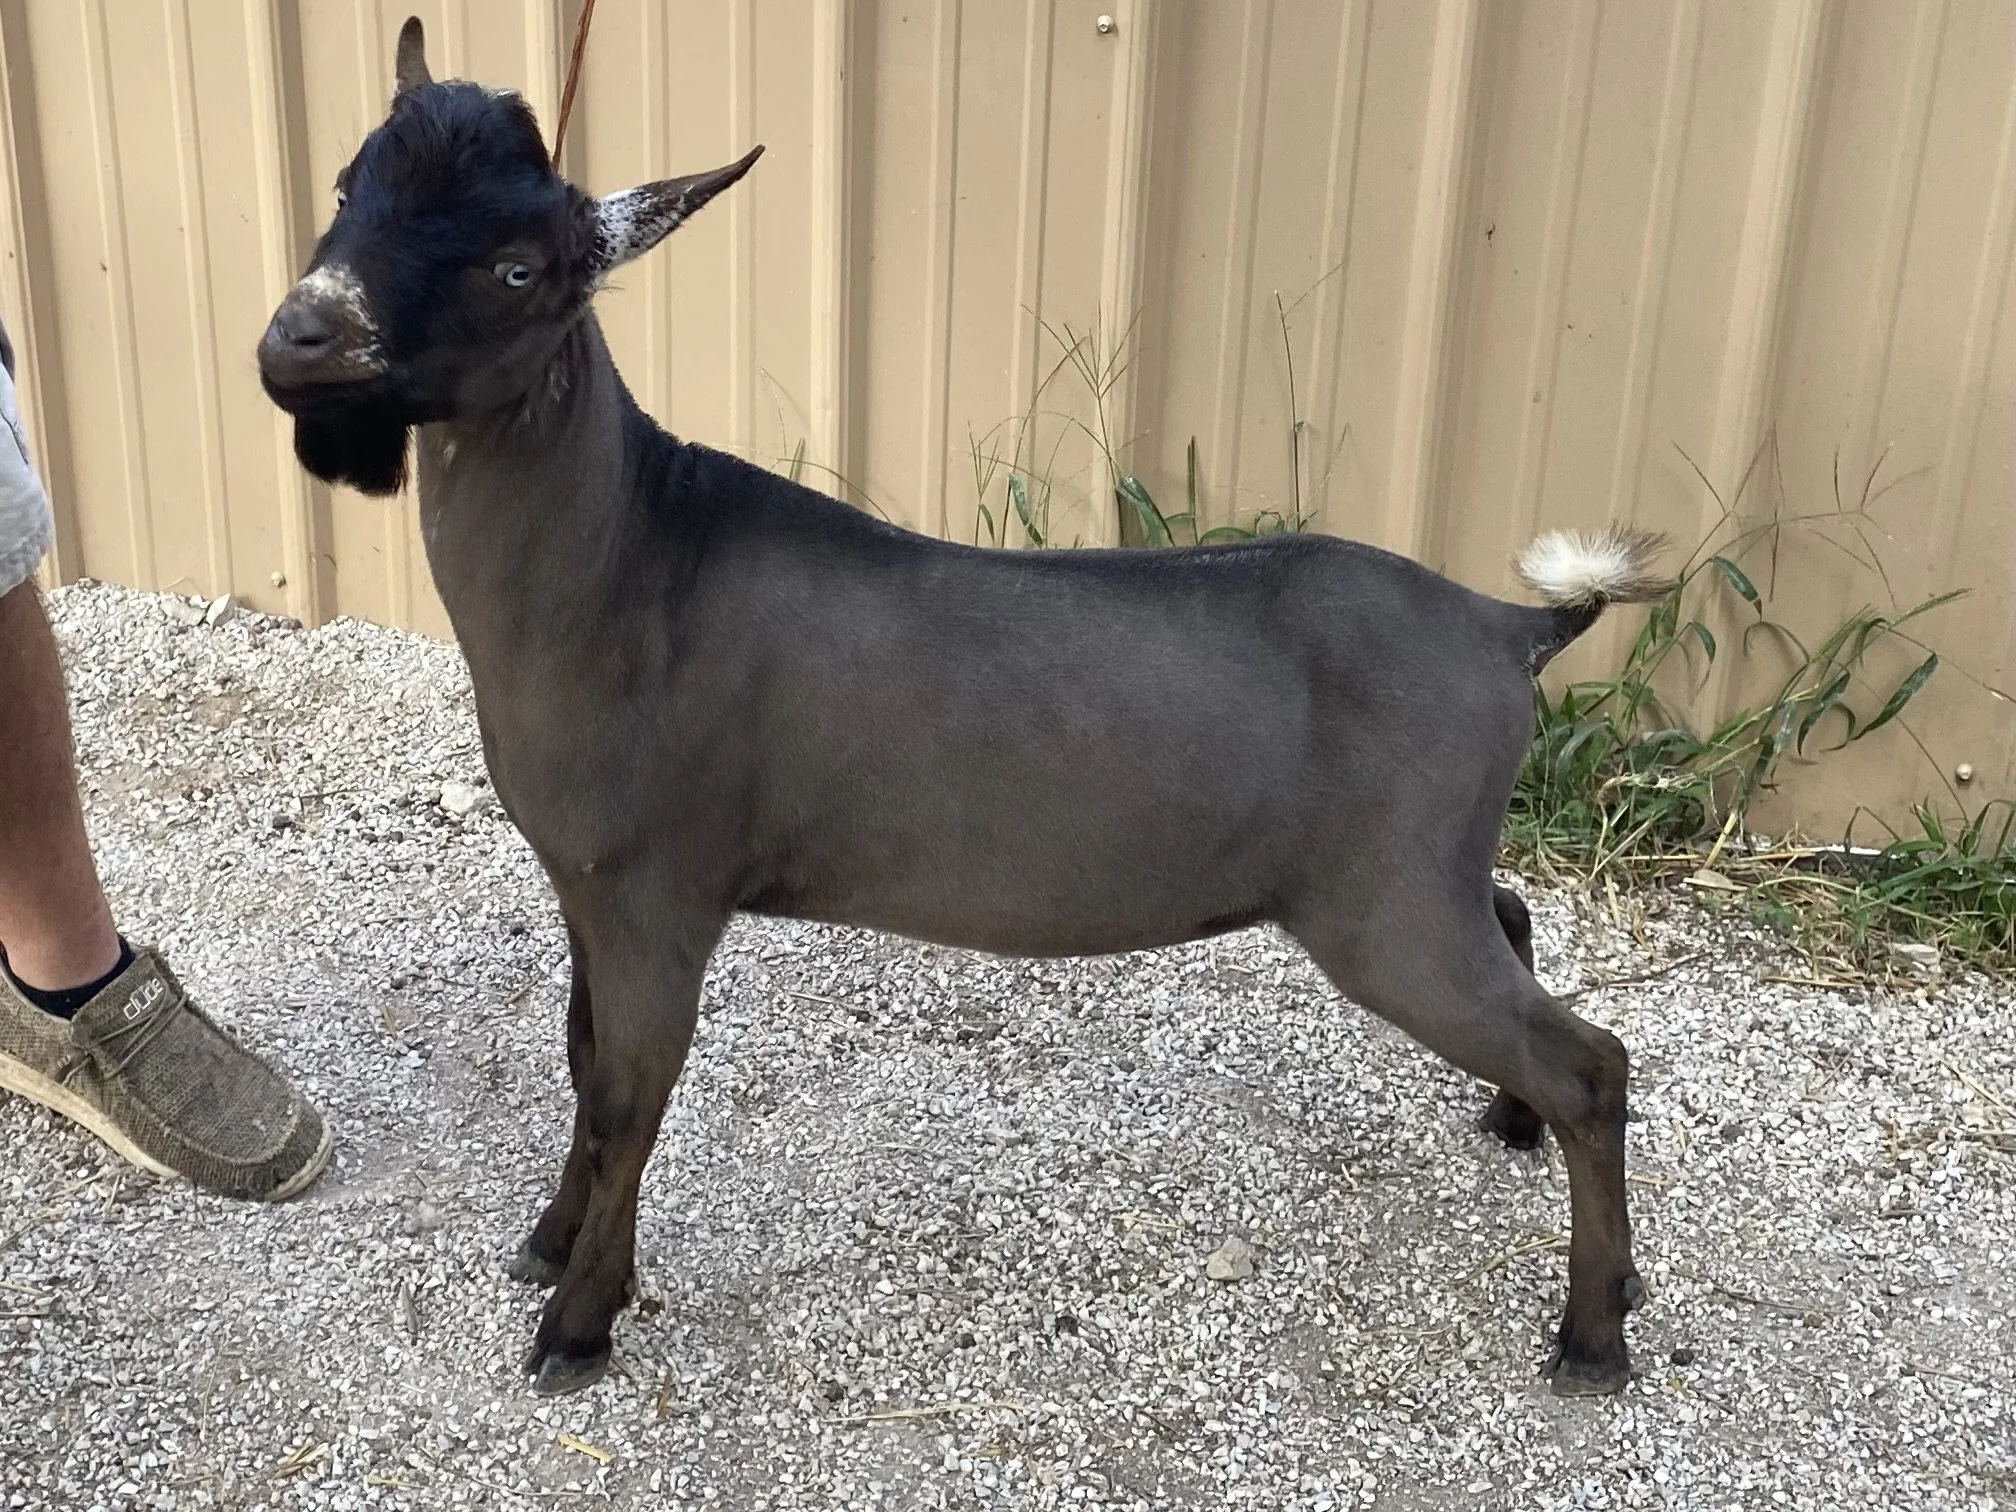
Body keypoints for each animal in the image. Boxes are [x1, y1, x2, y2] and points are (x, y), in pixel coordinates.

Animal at [257, 18, 1666, 1398]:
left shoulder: (657, 888)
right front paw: (548, 1244)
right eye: (344, 188)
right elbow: (579, 1059)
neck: (632, 564)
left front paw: (578, 1322)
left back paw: (1594, 1334)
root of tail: (1508, 628)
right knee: (1515, 922)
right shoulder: (583, 884)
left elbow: (626, 1094)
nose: (296, 339)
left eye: (516, 269)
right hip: (1422, 869)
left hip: (1382, 902)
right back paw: (1515, 1131)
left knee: (1594, 1062)